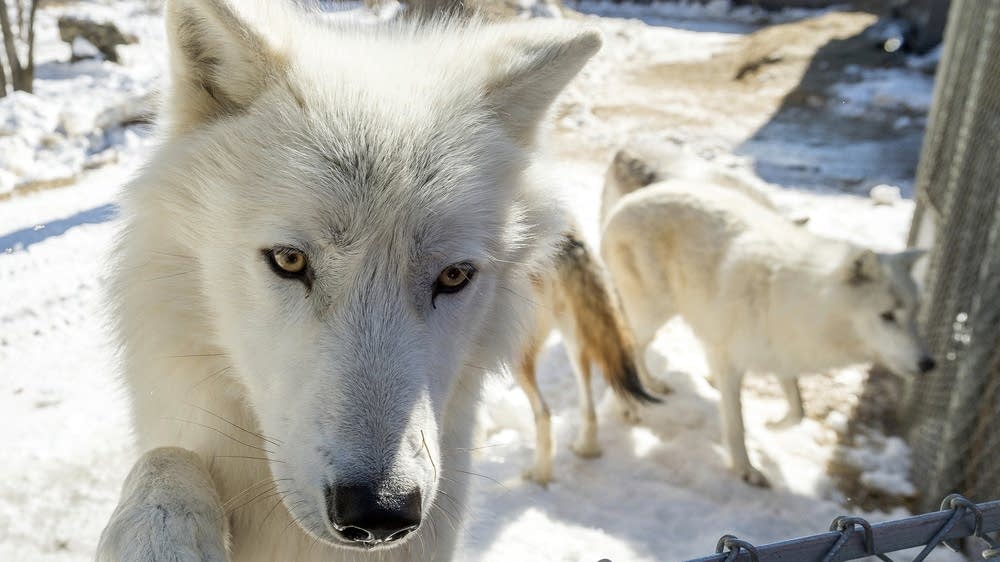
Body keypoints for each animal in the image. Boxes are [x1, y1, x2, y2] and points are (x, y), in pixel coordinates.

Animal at [516, 226, 660, 484]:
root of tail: (568, 238)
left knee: (545, 412)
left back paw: (540, 475)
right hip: (575, 340)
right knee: (591, 401)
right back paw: (588, 447)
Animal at [600, 145, 934, 487]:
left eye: (914, 312)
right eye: (887, 315)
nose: (928, 364)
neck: (806, 299)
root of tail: (624, 206)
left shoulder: (780, 354)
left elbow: (798, 410)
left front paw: (773, 426)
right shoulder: (729, 359)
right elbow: (736, 423)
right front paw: (745, 469)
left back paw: (652, 385)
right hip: (652, 315)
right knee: (625, 346)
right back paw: (631, 404)